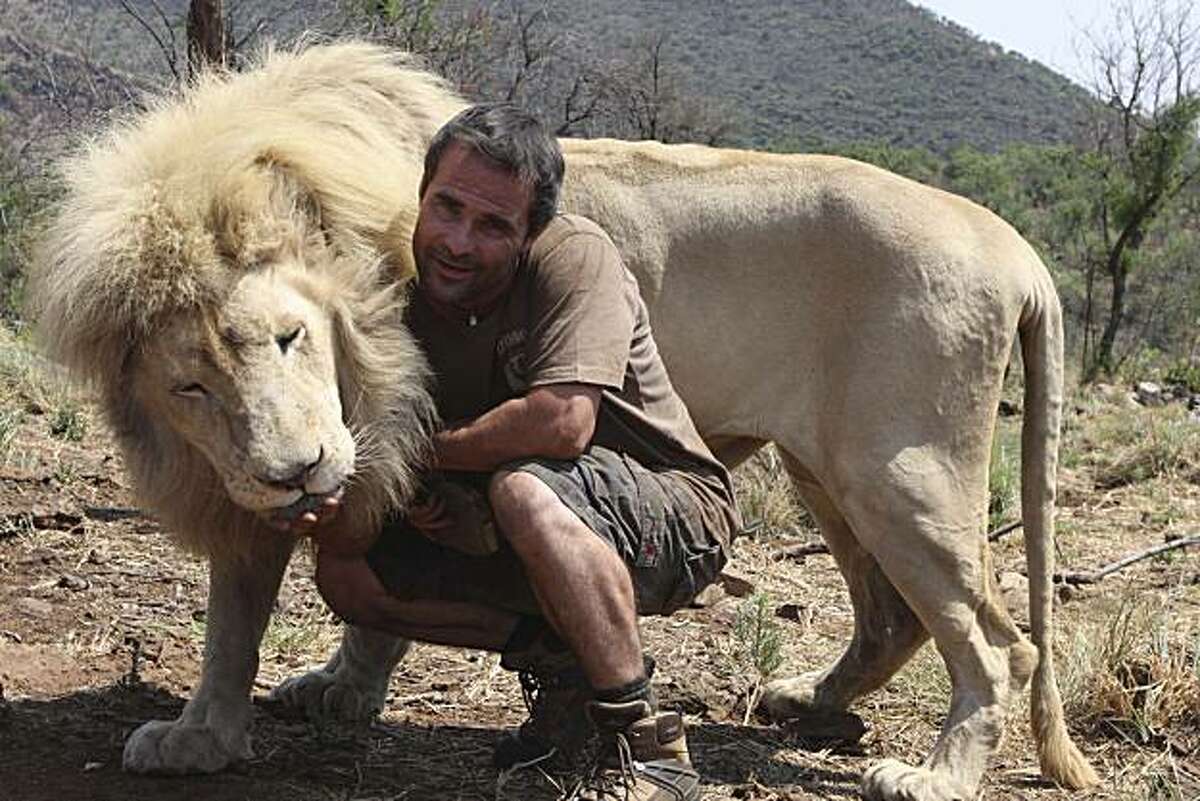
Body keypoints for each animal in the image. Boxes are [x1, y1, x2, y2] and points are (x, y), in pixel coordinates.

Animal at [29, 42, 1099, 800]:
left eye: (290, 337)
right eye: (191, 388)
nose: (296, 470)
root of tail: (1011, 244)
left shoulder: (378, 435)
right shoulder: (243, 475)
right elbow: (239, 617)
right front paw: (215, 732)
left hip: (897, 467)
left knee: (998, 642)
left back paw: (933, 775)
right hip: (825, 468)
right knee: (892, 617)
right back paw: (808, 704)